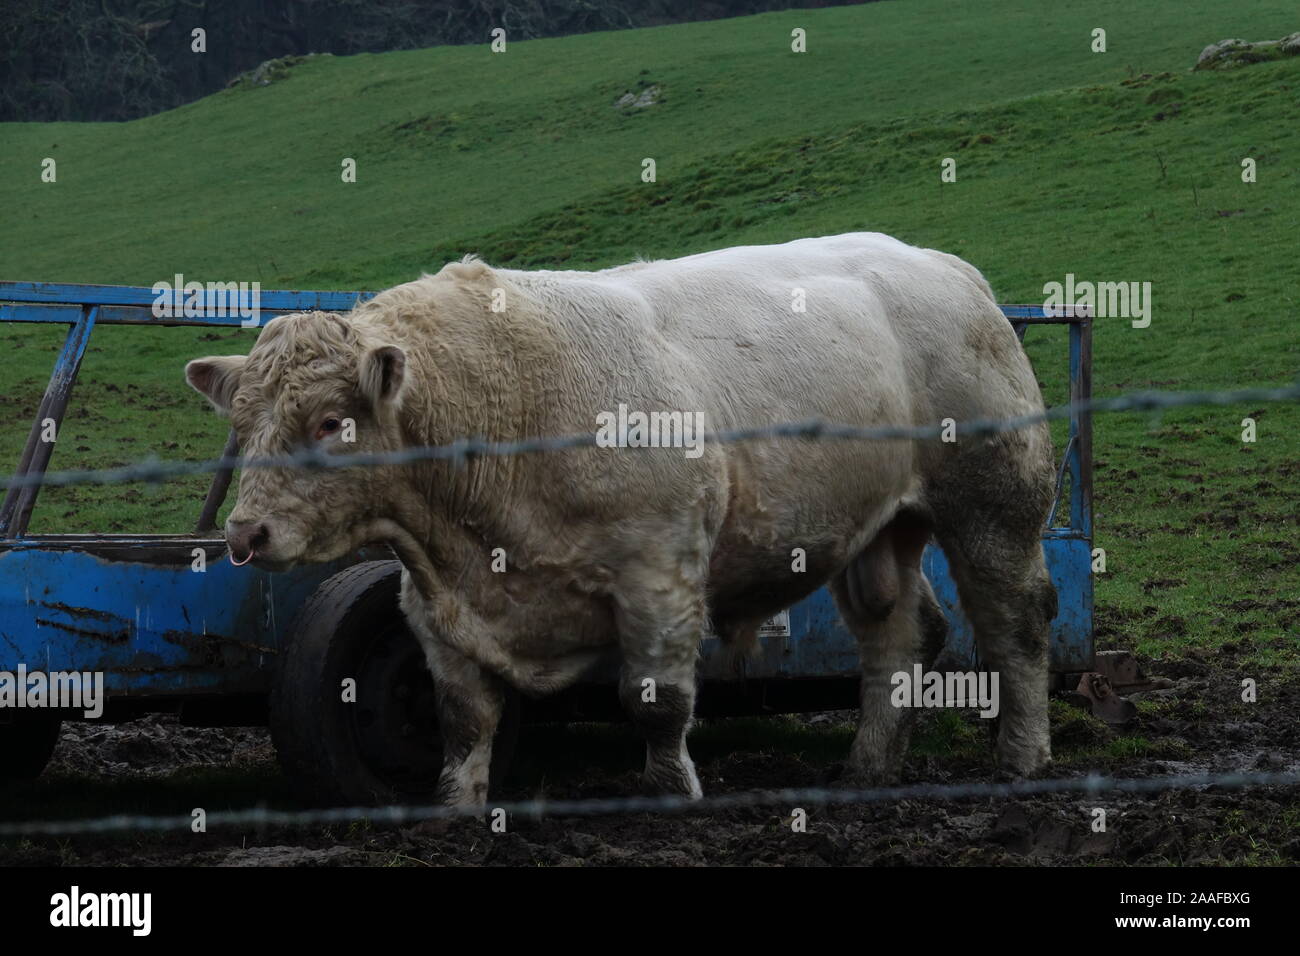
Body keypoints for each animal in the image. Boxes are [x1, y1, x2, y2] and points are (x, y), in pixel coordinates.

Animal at [184, 233, 1057, 807]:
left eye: (332, 422)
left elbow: (655, 698)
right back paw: (870, 766)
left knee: (1015, 623)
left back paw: (1023, 757)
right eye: (245, 423)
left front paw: (671, 793)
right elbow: (463, 716)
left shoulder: (659, 573)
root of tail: (944, 266)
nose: (246, 533)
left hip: (994, 506)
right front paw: (457, 809)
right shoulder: (432, 602)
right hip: (873, 532)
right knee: (900, 634)